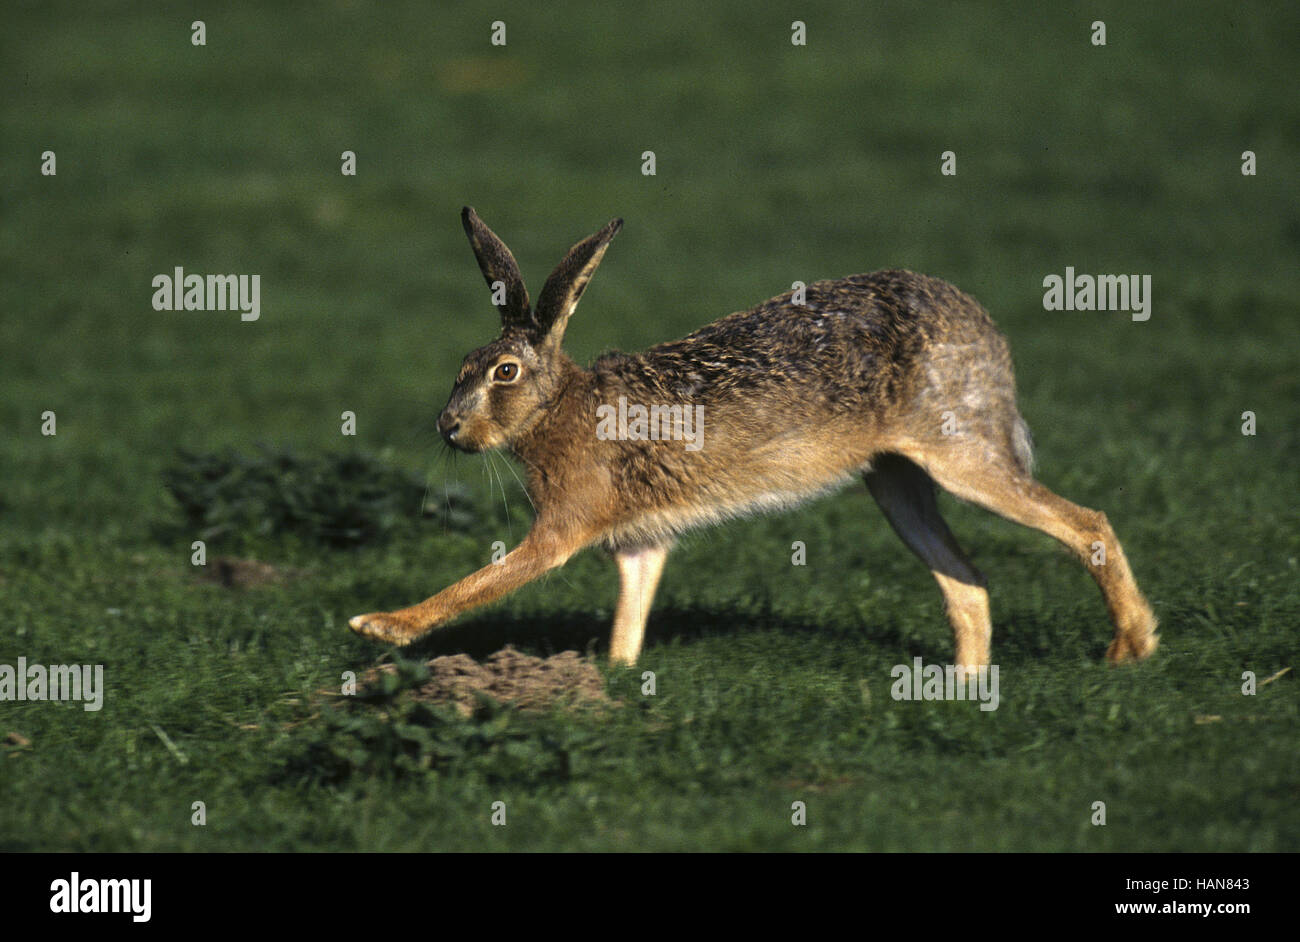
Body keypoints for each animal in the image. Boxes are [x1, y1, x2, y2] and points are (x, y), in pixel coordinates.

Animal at [349, 207, 1159, 668]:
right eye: (461, 365)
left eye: (505, 372)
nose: (449, 428)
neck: (560, 406)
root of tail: (983, 332)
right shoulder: (640, 542)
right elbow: (630, 614)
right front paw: (614, 678)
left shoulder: (563, 528)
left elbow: (482, 583)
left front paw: (381, 627)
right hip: (896, 482)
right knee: (967, 579)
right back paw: (965, 682)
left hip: (959, 454)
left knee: (1087, 524)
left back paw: (1130, 648)